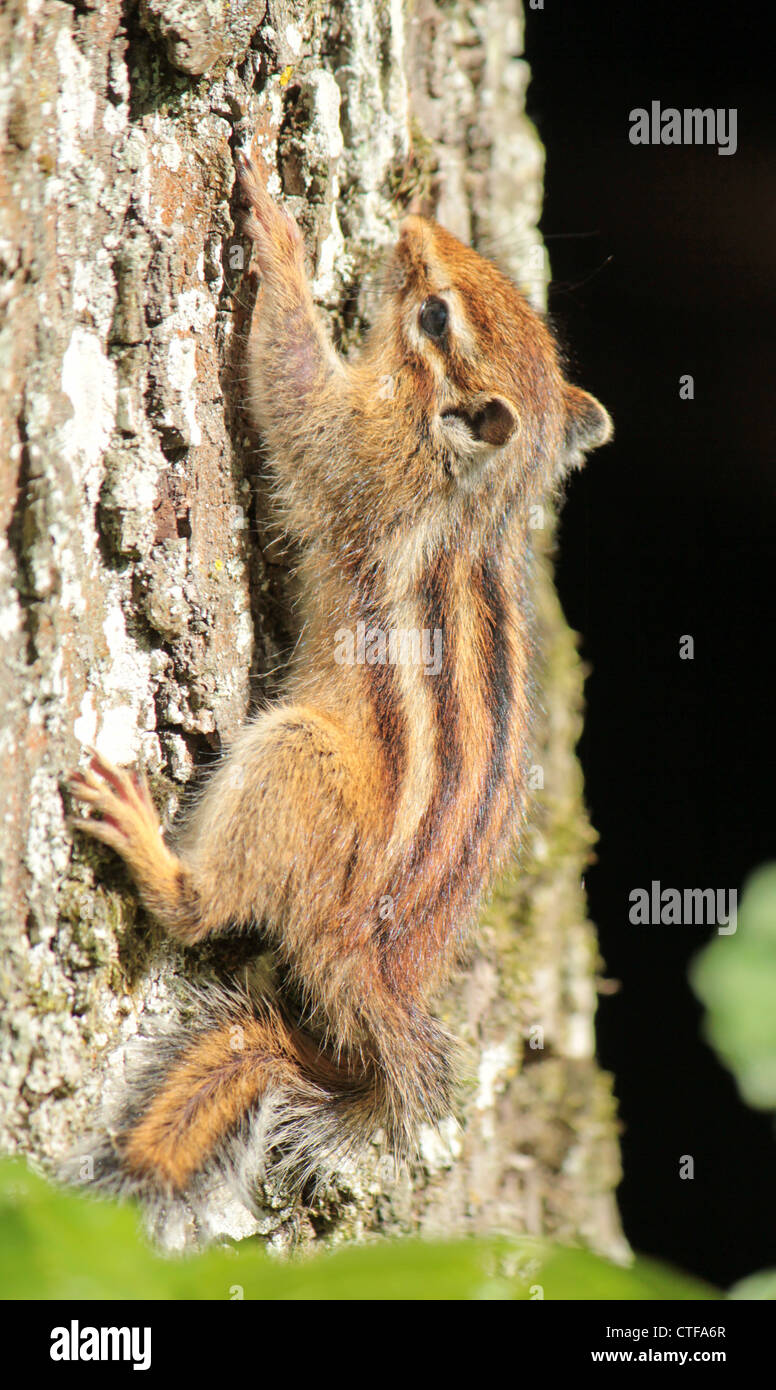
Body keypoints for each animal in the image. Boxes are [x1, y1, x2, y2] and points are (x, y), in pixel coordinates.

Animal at [66, 150, 612, 1208]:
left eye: (436, 318)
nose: (412, 229)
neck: (475, 486)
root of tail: (373, 959)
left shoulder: (351, 445)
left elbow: (289, 385)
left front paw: (277, 238)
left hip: (297, 757)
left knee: (205, 906)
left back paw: (147, 842)